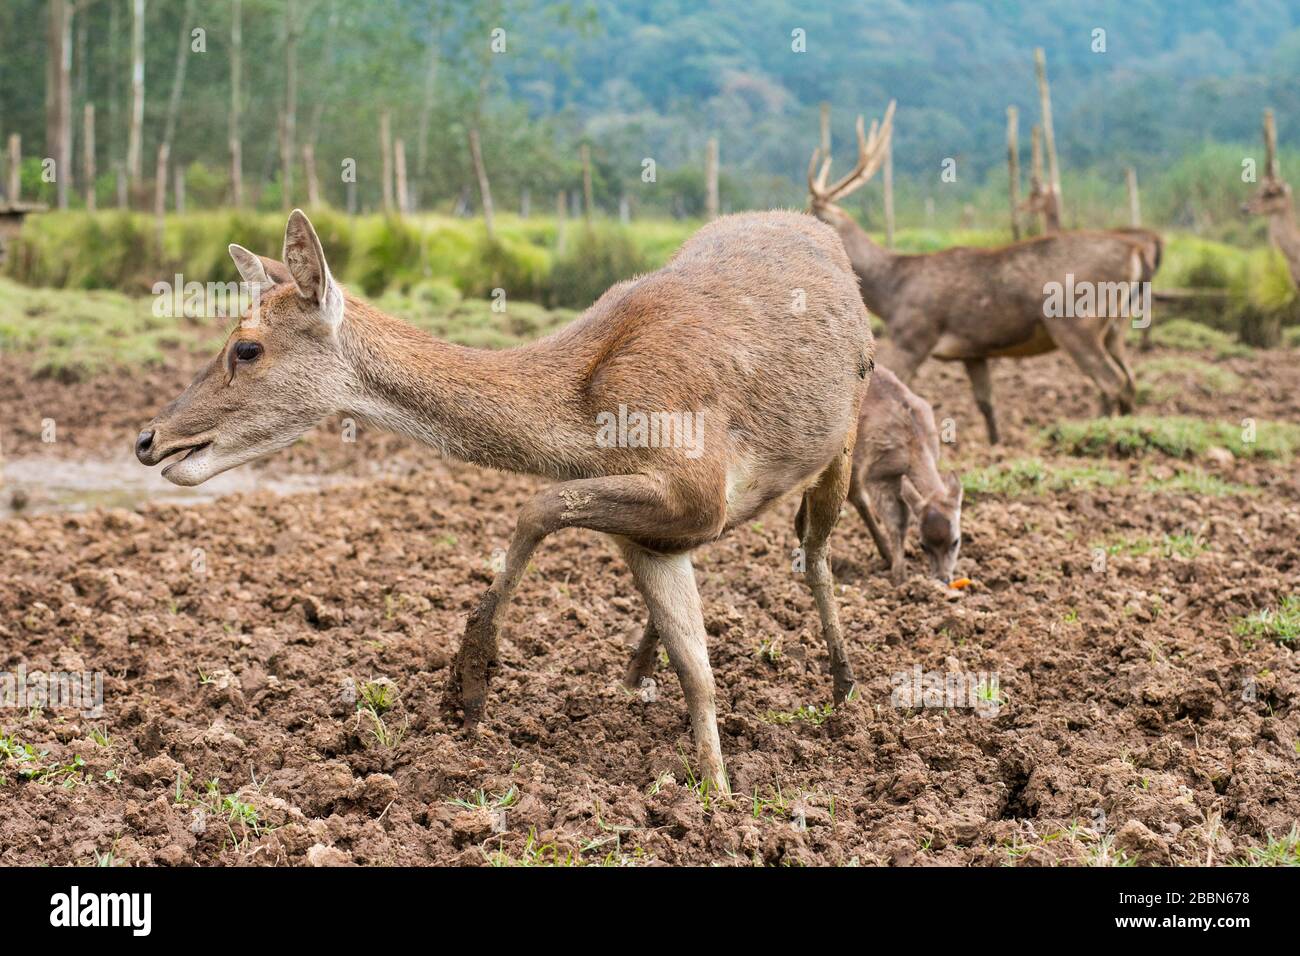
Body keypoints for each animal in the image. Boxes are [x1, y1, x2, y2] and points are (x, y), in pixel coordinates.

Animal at [134, 209, 875, 795]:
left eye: (246, 347)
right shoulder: (654, 533)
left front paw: (469, 684)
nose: (149, 439)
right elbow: (697, 667)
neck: (587, 412)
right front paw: (715, 795)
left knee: (814, 551)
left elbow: (536, 507)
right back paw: (638, 674)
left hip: (846, 435)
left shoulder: (692, 485)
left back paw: (846, 691)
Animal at [807, 102, 1147, 445]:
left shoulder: (913, 336)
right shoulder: (973, 352)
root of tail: (1134, 252)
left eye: (809, 212)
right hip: (1115, 327)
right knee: (1129, 380)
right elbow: (986, 403)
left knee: (1112, 381)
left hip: (1075, 322)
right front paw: (997, 445)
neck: (892, 292)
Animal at [847, 366, 962, 585]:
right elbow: (896, 525)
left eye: (956, 541)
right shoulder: (875, 476)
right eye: (923, 545)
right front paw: (899, 577)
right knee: (853, 495)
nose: (943, 579)